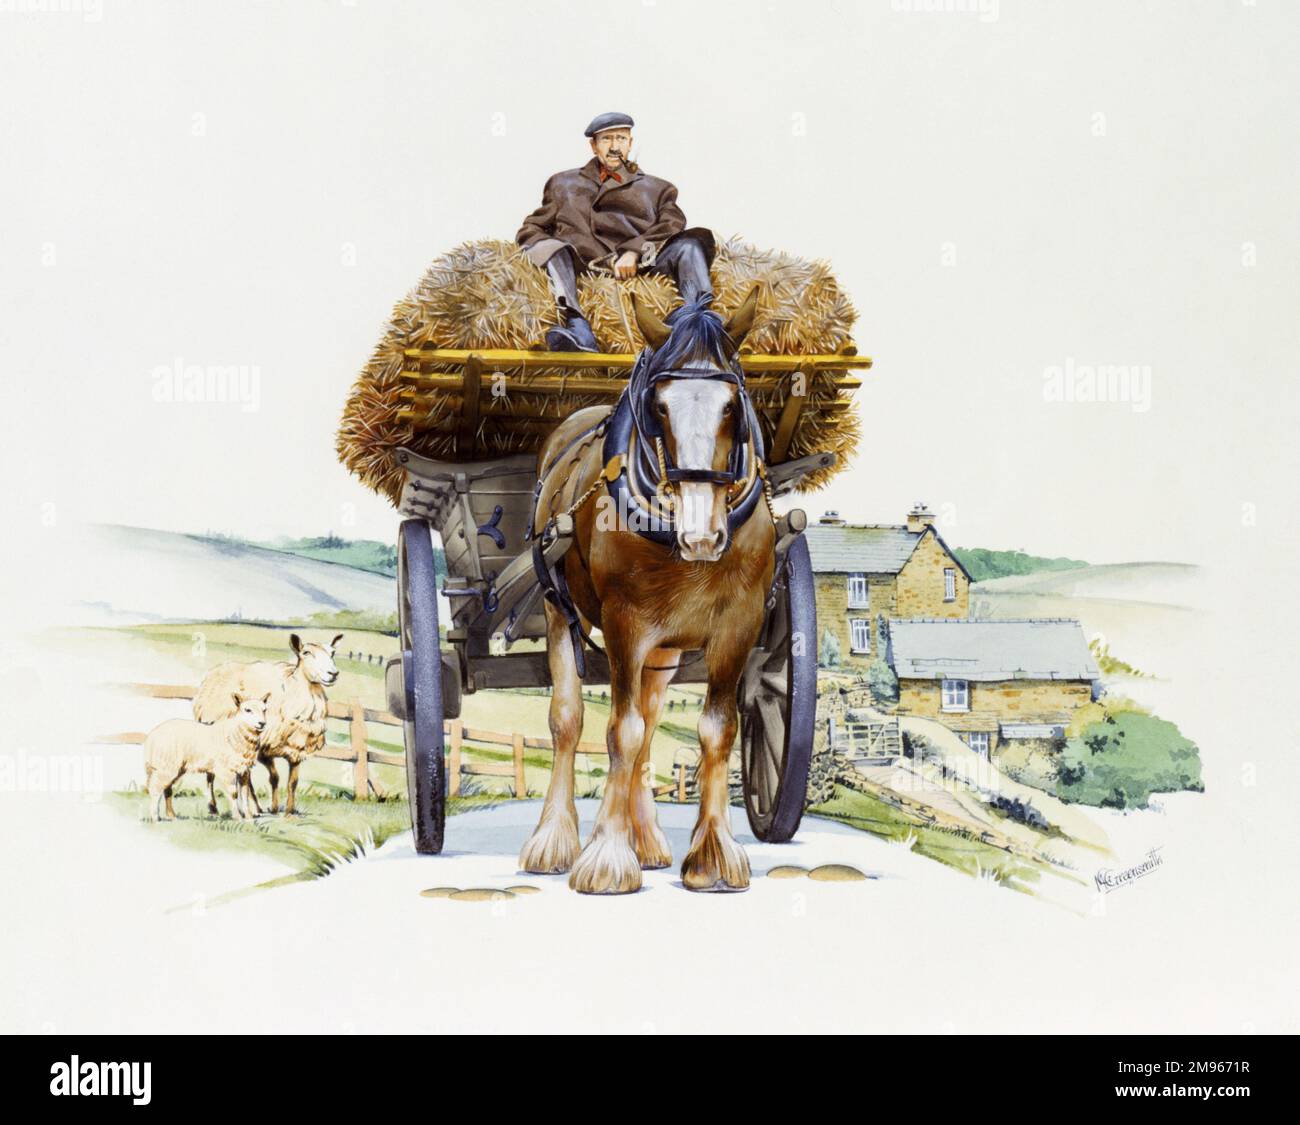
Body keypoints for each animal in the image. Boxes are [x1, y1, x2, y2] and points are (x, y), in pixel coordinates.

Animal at [520, 287, 776, 893]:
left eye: (733, 406)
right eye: (659, 407)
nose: (702, 535)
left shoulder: (738, 623)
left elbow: (715, 732)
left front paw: (713, 855)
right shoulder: (624, 622)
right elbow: (622, 731)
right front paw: (608, 857)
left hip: (664, 650)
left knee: (654, 716)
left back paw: (648, 838)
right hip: (561, 608)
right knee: (569, 719)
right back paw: (555, 838)